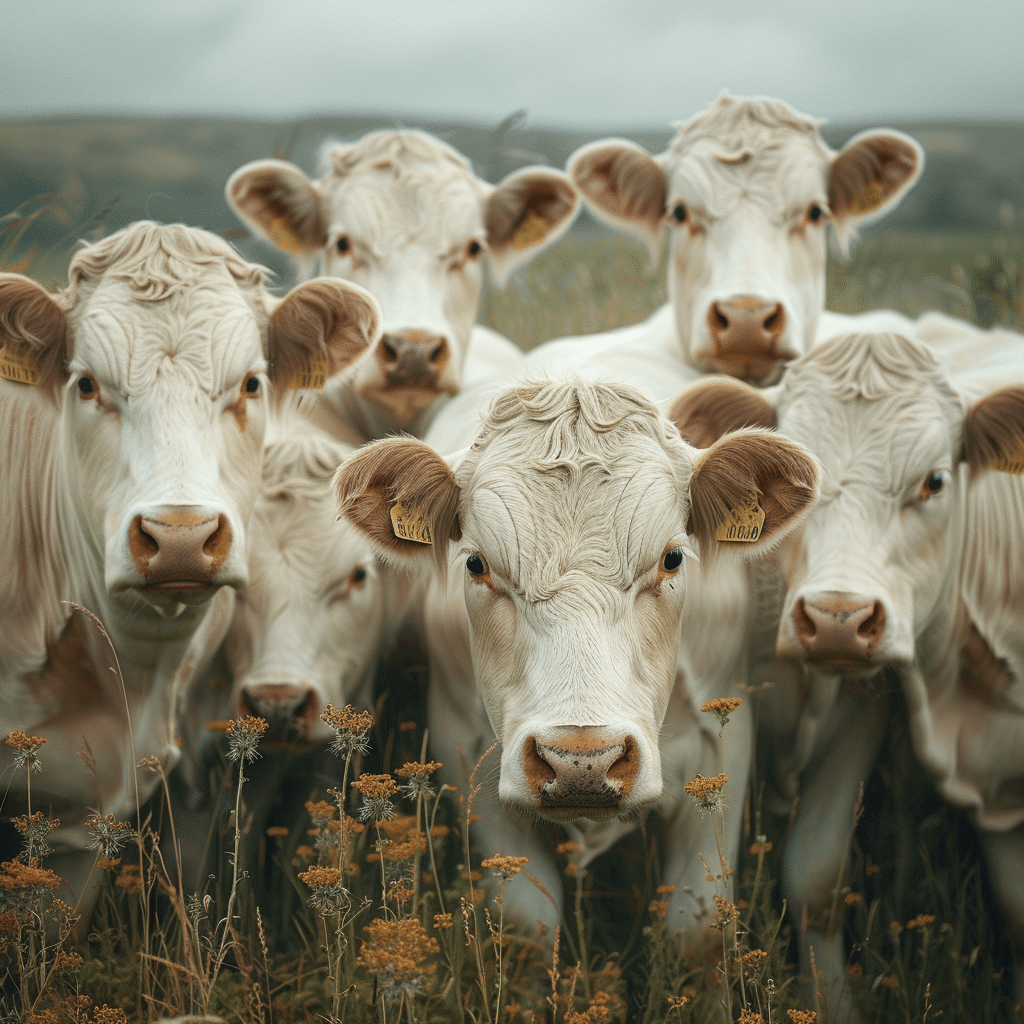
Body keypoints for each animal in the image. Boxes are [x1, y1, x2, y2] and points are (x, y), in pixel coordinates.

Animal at [334, 377, 820, 943]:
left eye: (673, 558)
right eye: (476, 564)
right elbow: (527, 918)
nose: (581, 763)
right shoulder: (470, 757)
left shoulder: (723, 754)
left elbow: (695, 926)